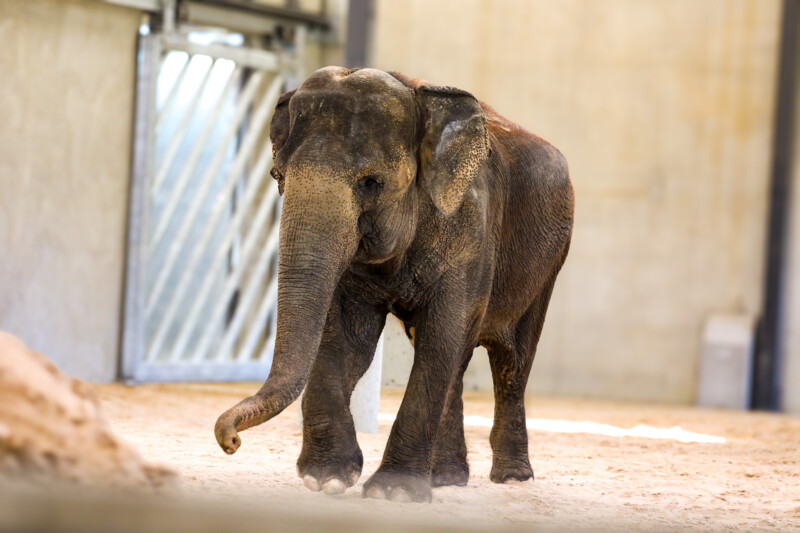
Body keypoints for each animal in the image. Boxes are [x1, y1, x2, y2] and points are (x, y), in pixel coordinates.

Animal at [214, 66, 574, 503]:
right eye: (277, 176)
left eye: (371, 182)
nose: (230, 440)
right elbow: (348, 340)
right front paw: (328, 478)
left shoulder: (471, 228)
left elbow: (442, 337)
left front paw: (393, 493)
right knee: (459, 362)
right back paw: (446, 478)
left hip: (549, 265)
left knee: (511, 363)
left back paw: (512, 479)